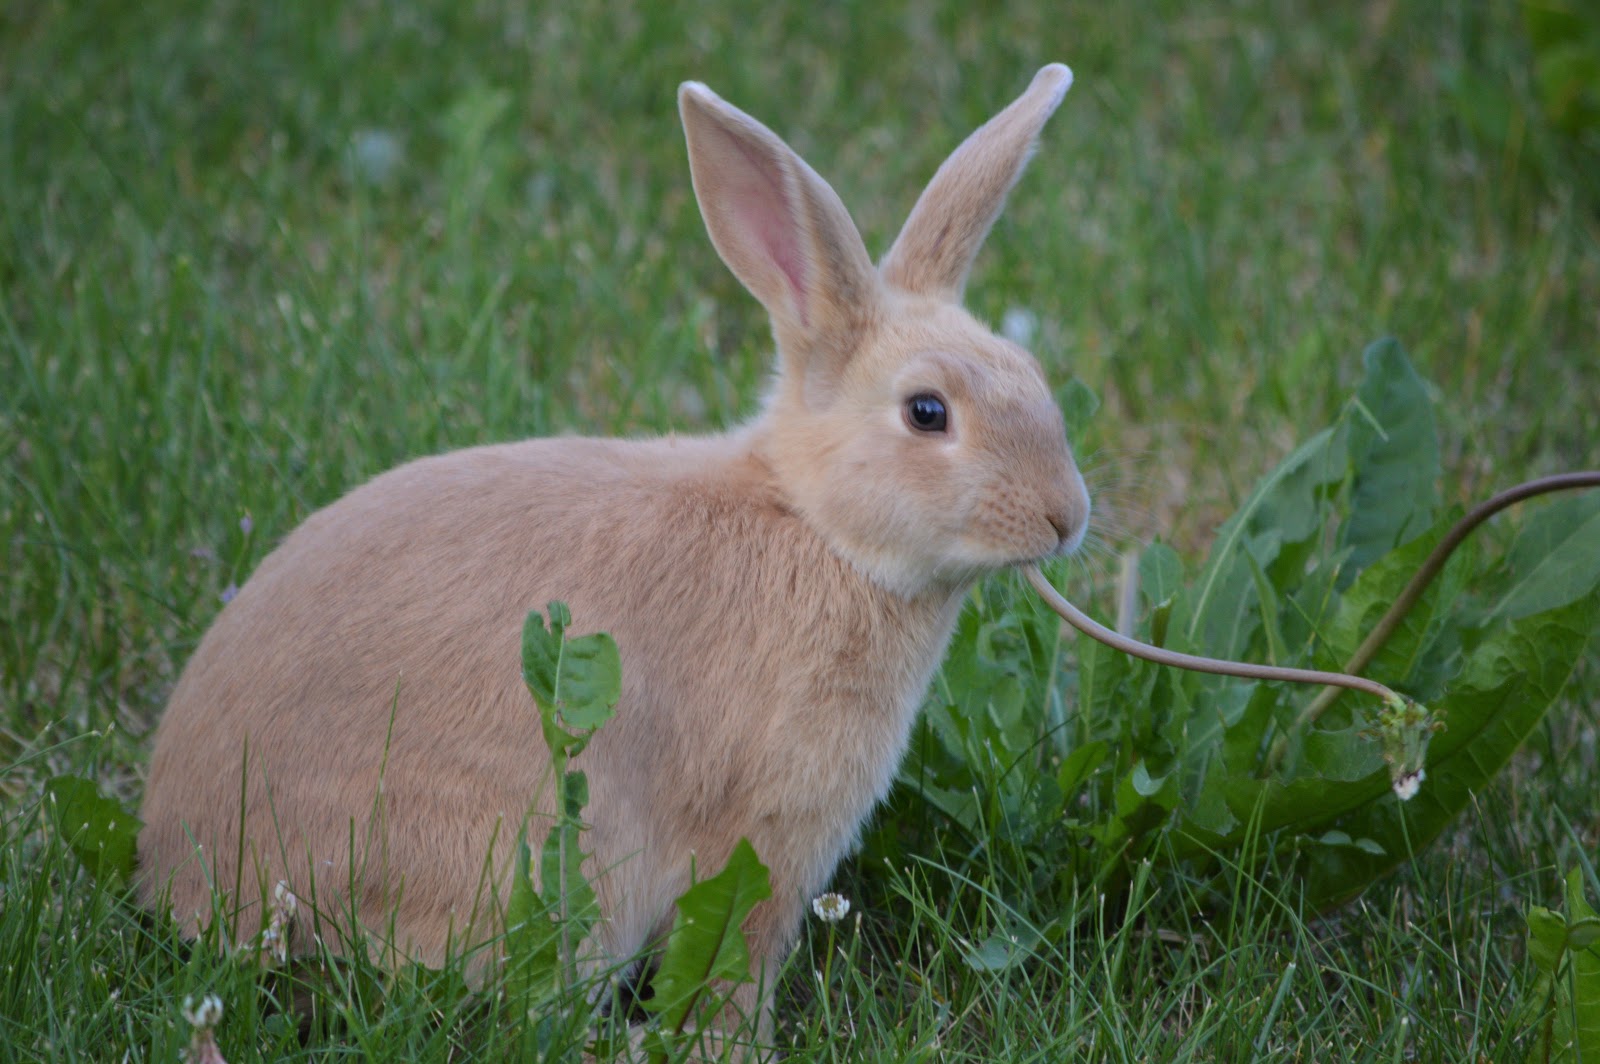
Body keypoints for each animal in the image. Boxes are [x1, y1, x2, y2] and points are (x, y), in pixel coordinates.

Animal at [137, 63, 1089, 1047]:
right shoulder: (760, 836)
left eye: (1032, 375)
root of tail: (184, 878)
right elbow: (739, 957)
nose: (1066, 517)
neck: (815, 524)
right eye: (926, 413)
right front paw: (730, 1047)